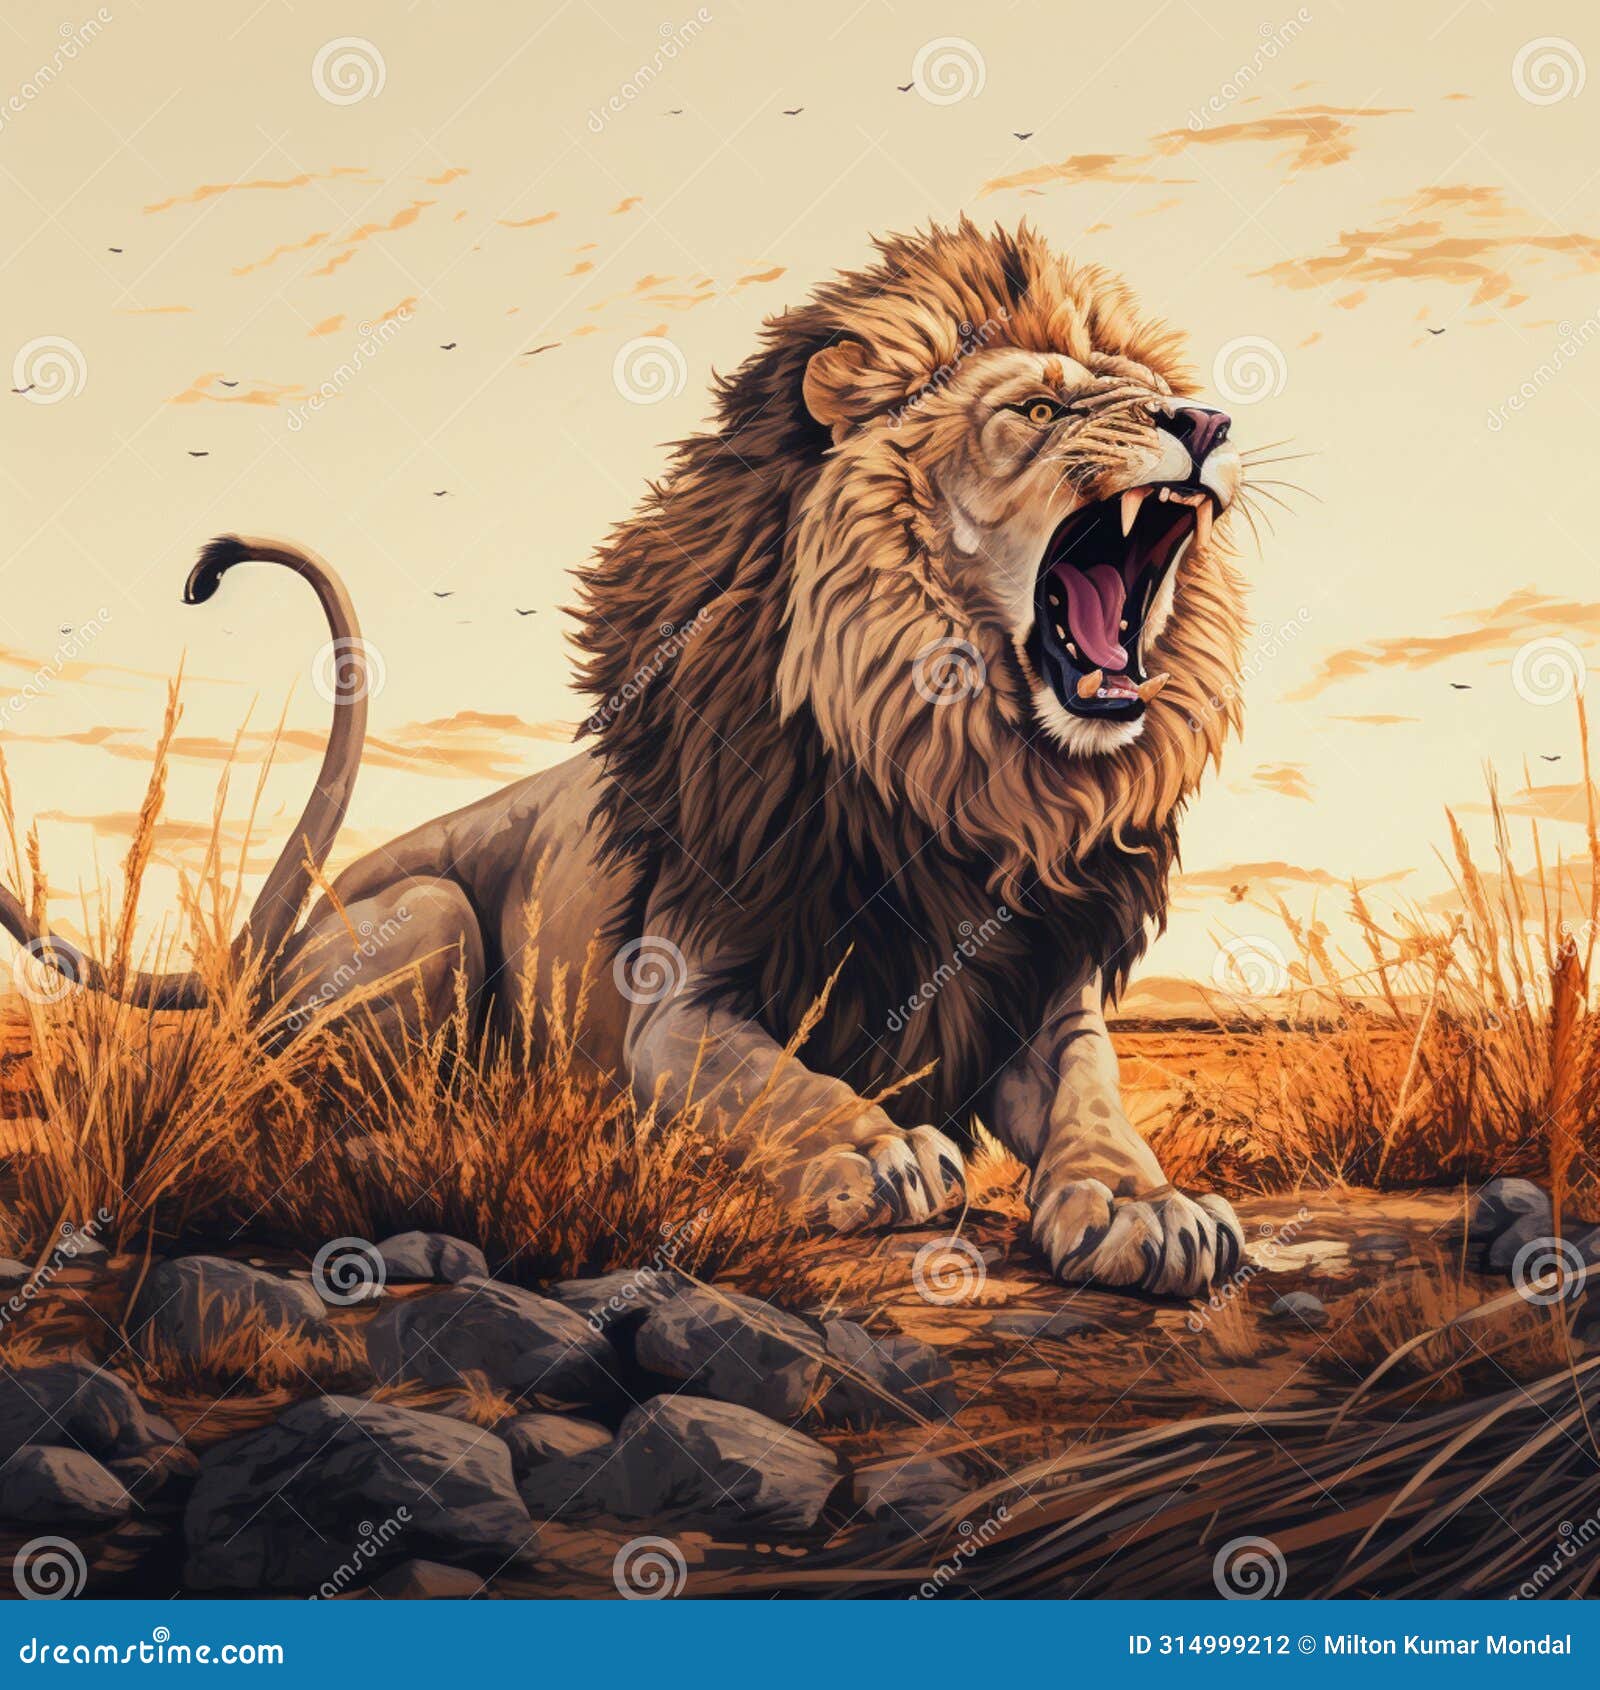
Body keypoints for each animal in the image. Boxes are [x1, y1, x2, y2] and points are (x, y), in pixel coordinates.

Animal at [1, 221, 1252, 1297]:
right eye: (1036, 406)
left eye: (1150, 394)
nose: (1203, 423)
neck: (956, 775)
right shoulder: (678, 999)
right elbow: (770, 1082)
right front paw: (874, 1151)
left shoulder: (1047, 987)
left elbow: (1096, 1106)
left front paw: (1148, 1209)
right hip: (427, 916)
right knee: (304, 1105)